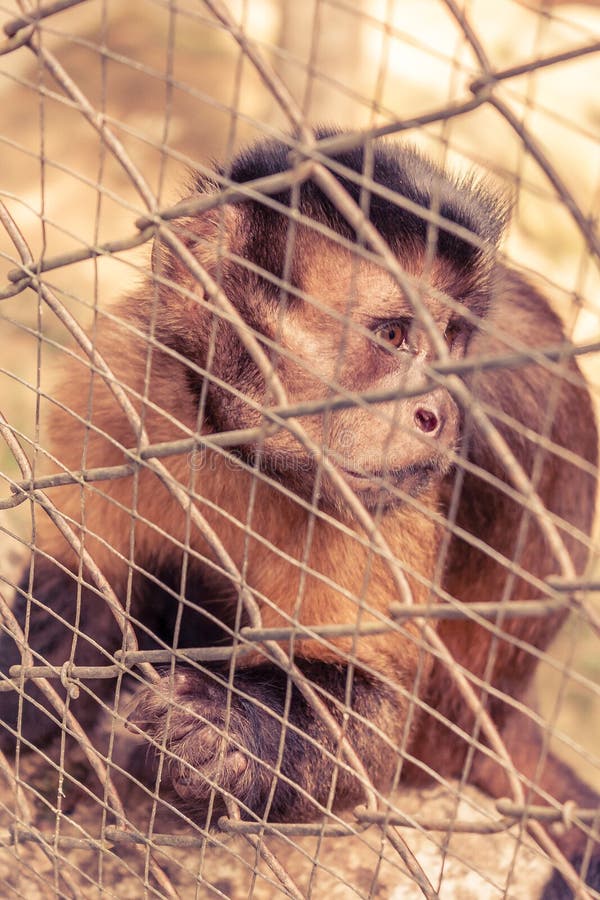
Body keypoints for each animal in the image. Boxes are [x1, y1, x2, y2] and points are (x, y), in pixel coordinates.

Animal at [0, 130, 597, 896]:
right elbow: (80, 588)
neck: (242, 447)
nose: (438, 414)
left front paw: (226, 730)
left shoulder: (393, 502)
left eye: (453, 346)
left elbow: (373, 728)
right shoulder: (125, 369)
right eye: (394, 336)